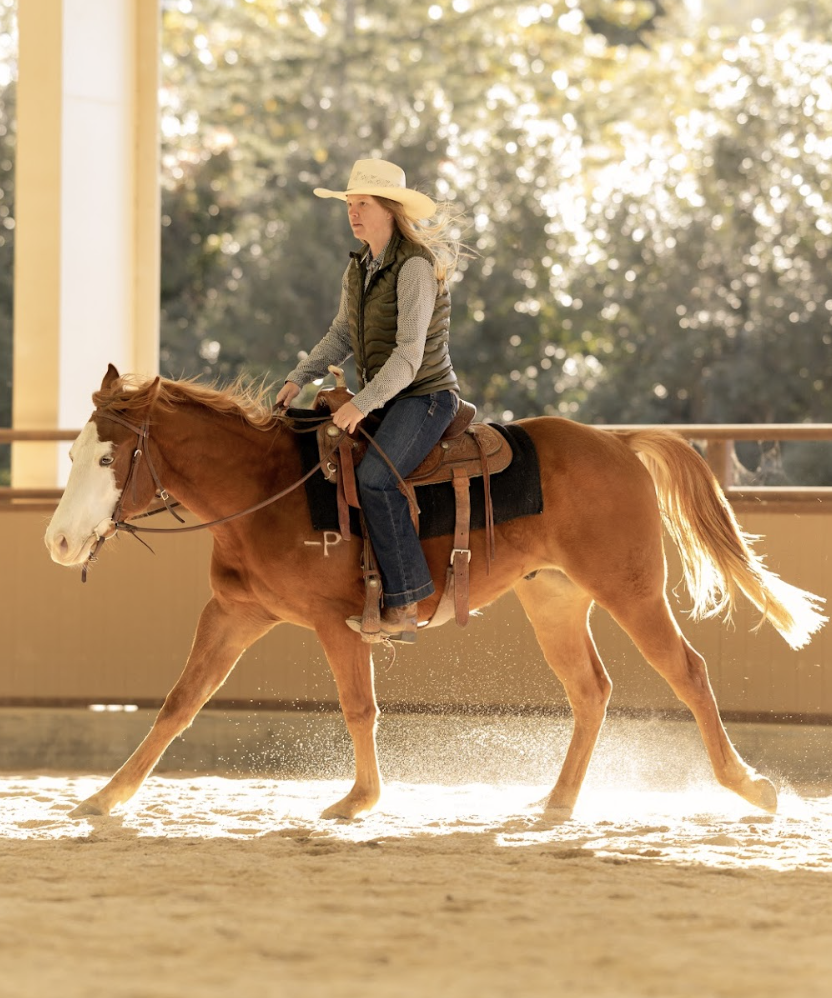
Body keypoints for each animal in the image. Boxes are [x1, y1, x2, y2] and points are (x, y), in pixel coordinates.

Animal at [45, 365, 826, 821]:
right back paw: (557, 801)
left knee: (687, 672)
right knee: (590, 691)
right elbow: (180, 703)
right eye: (76, 451)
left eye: (110, 458)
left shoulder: (334, 622)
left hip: (632, 592)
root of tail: (620, 443)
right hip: (554, 602)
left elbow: (359, 708)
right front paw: (106, 795)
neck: (268, 491)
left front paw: (359, 800)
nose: (58, 542)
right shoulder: (234, 613)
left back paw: (750, 786)